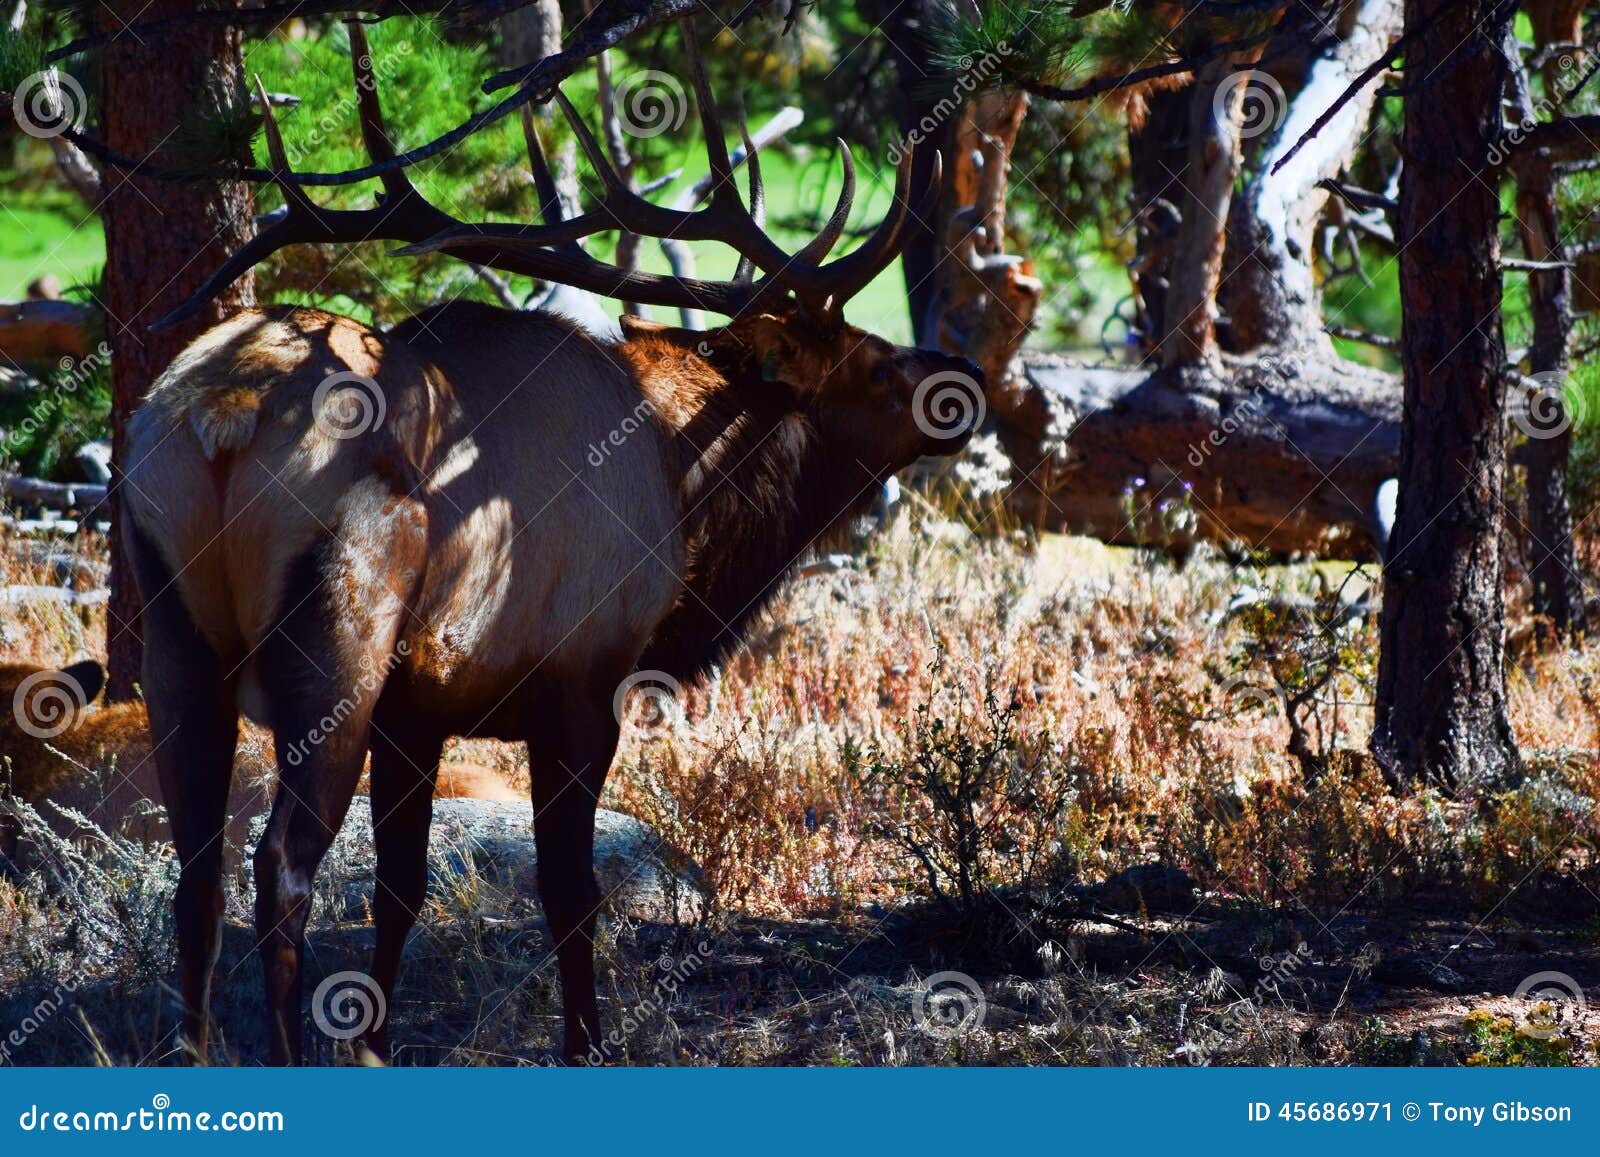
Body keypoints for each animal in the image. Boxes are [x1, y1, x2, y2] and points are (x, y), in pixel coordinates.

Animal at [122, 18, 983, 1065]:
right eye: (870, 361)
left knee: (195, 870)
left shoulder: (420, 706)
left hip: (173, 625)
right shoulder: (584, 680)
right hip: (337, 642)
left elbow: (400, 886)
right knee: (279, 866)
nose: (966, 376)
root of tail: (224, 417)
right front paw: (586, 1043)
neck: (684, 492)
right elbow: (571, 893)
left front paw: (376, 1042)